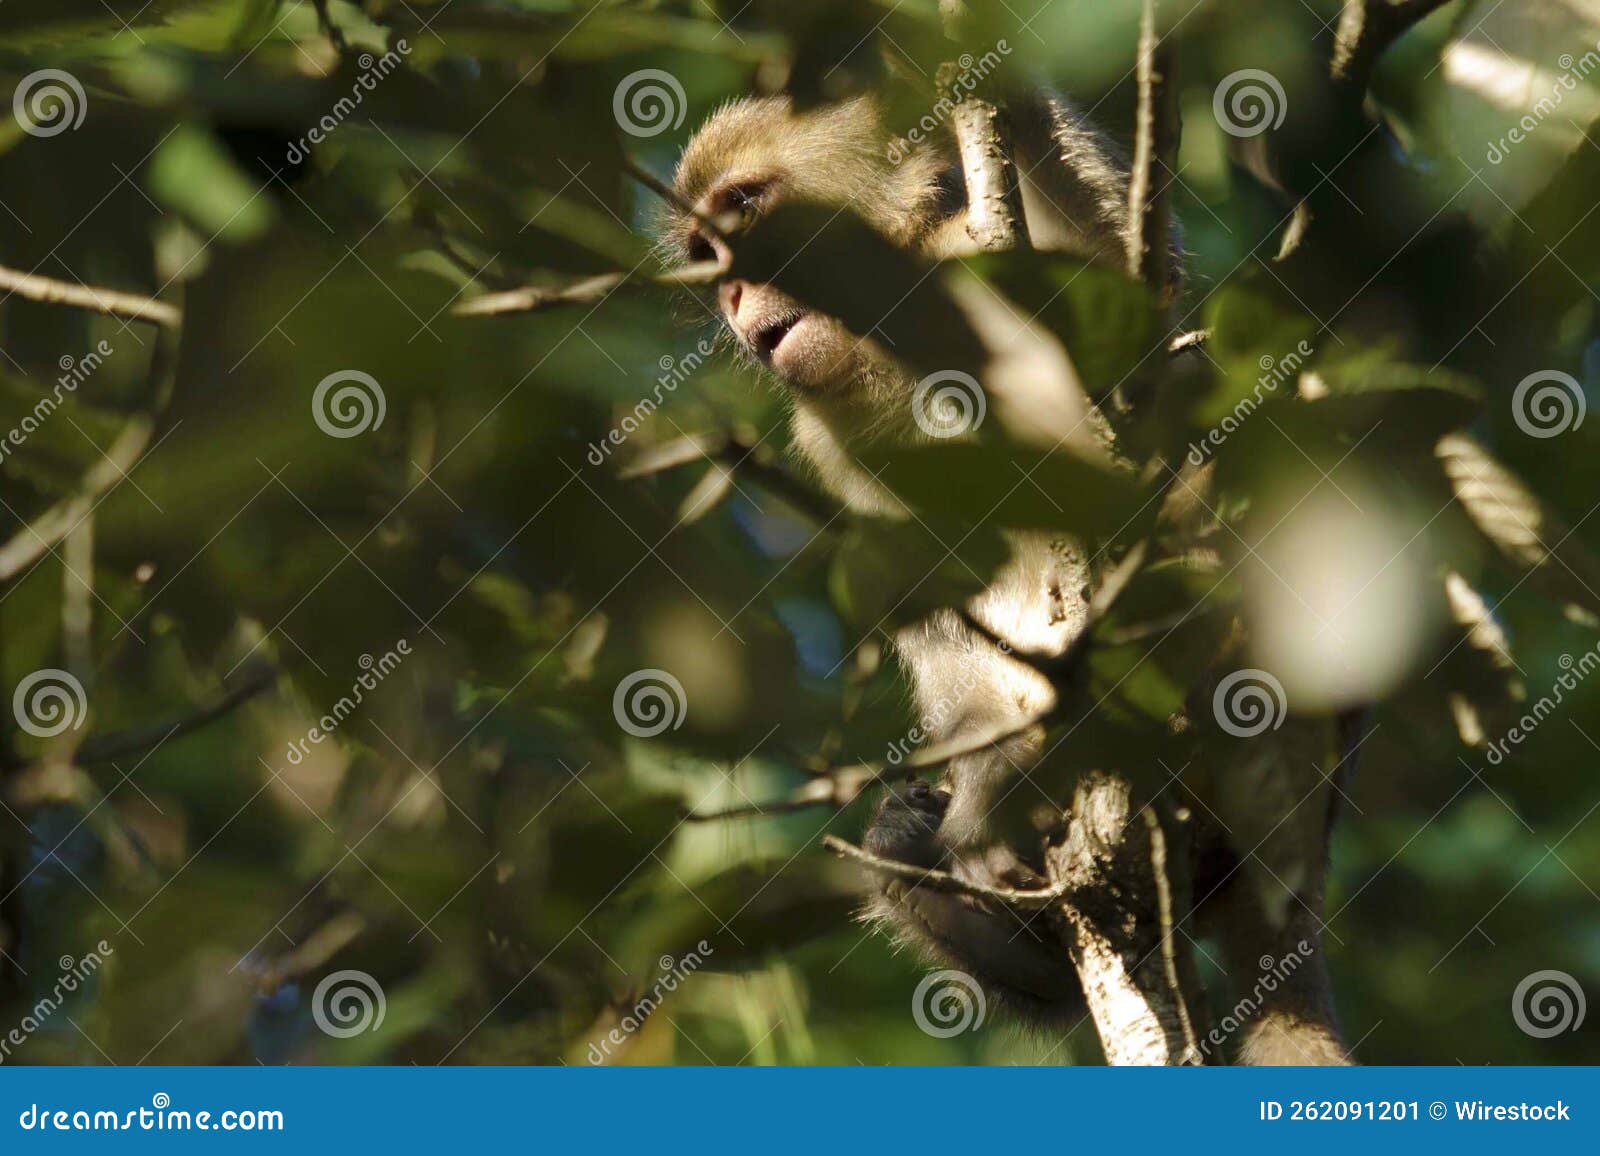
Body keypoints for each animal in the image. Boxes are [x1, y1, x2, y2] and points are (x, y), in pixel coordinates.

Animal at [664, 92, 1351, 1063]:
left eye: (745, 208)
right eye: (706, 251)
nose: (731, 293)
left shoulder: (991, 267)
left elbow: (1141, 309)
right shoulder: (834, 434)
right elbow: (936, 604)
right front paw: (978, 797)